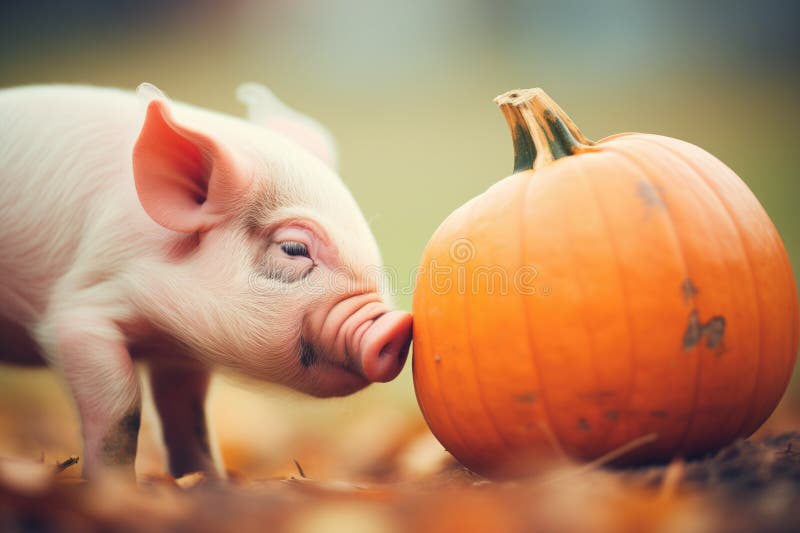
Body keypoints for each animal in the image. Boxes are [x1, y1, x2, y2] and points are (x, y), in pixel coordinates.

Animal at [0, 83, 412, 480]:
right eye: (293, 248)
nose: (397, 325)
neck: (161, 328)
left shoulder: (180, 354)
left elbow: (190, 416)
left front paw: (212, 485)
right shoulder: (81, 313)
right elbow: (123, 408)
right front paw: (114, 488)